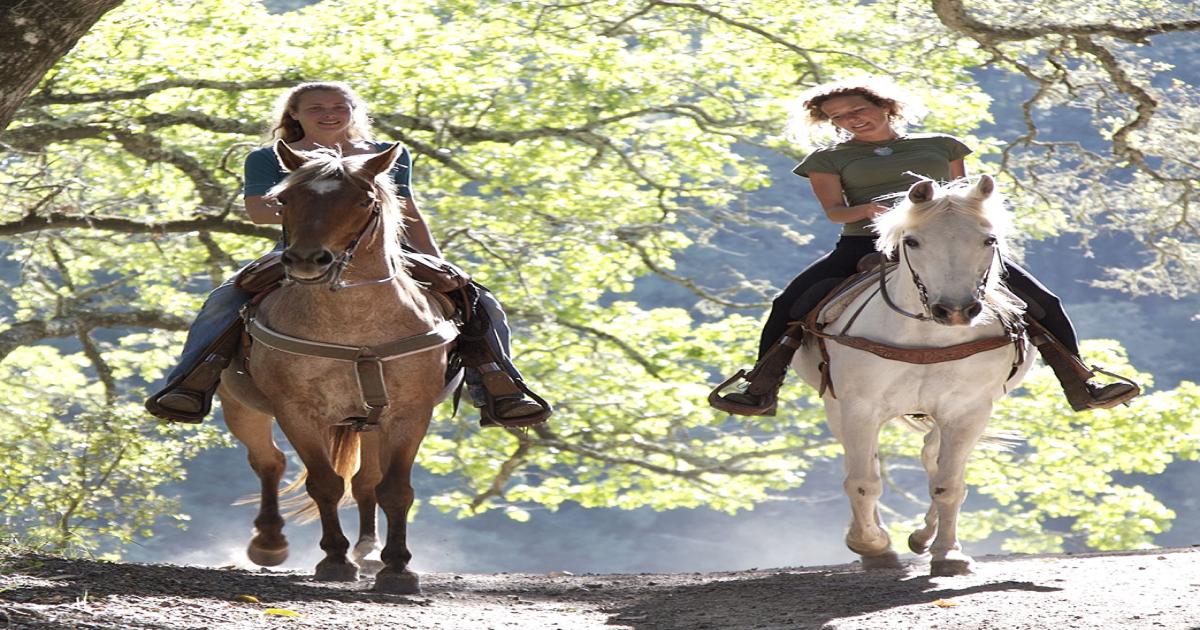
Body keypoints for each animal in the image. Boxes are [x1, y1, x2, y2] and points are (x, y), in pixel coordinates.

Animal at [215, 141, 457, 594]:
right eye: (284, 199)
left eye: (363, 200)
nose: (307, 260)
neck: (355, 327)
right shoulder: (297, 412)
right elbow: (324, 482)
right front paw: (334, 560)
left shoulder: (410, 412)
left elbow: (394, 489)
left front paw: (398, 569)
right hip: (241, 407)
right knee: (269, 461)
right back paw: (270, 541)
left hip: (369, 424)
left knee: (365, 482)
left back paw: (370, 552)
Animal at [792, 175, 1035, 576]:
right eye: (913, 241)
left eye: (988, 239)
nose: (955, 311)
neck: (926, 338)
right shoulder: (859, 407)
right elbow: (863, 482)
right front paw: (872, 545)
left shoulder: (967, 411)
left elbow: (948, 484)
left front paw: (949, 554)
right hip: (837, 408)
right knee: (863, 465)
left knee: (932, 459)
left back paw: (924, 538)